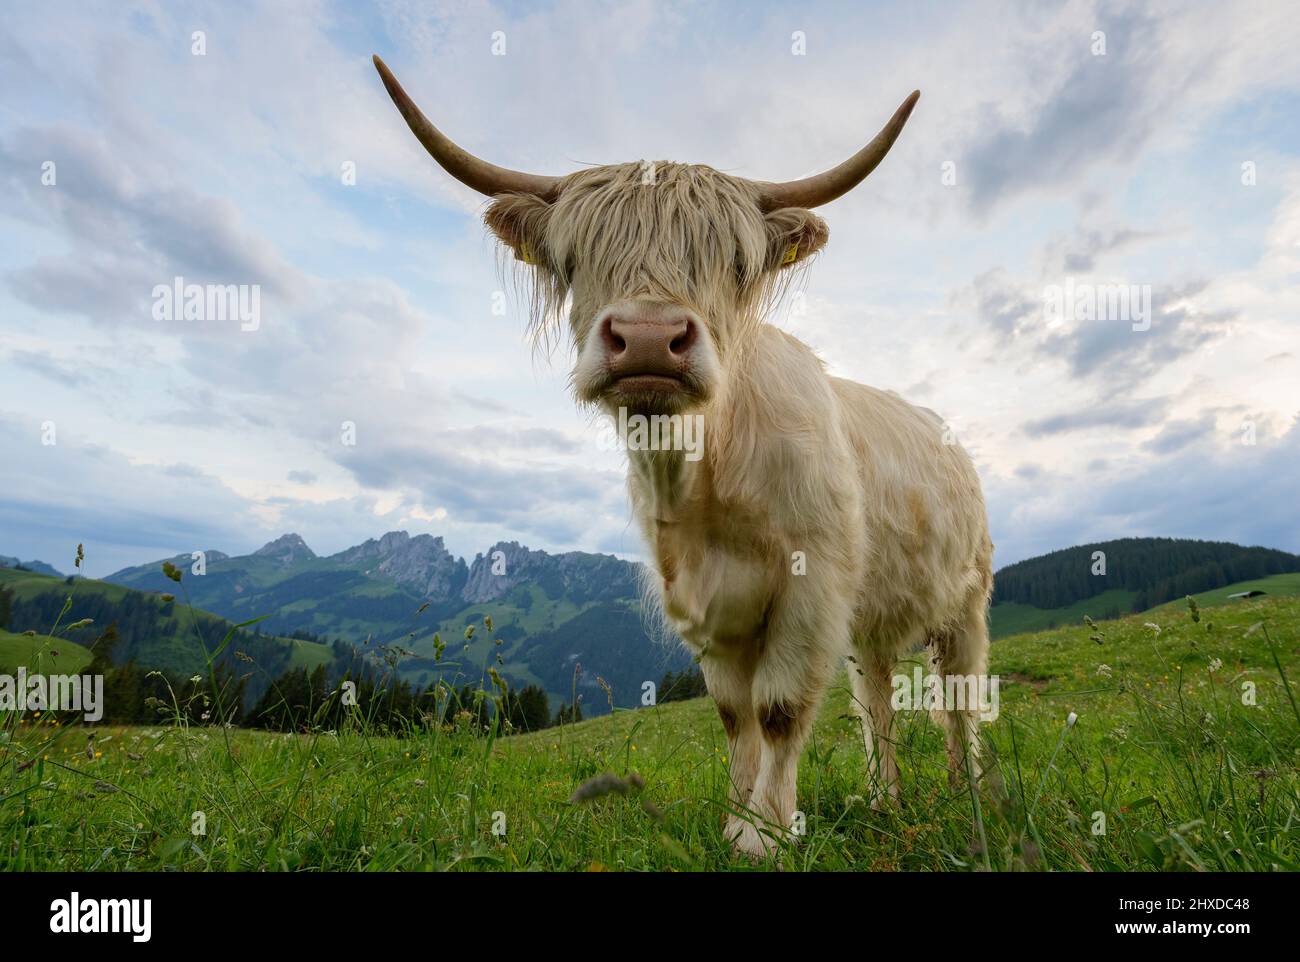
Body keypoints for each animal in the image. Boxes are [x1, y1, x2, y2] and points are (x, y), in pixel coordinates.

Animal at [373, 56, 993, 858]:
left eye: (735, 261)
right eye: (576, 257)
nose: (647, 339)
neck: (707, 481)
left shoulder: (813, 589)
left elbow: (780, 710)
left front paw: (767, 835)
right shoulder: (708, 606)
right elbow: (735, 715)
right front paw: (735, 821)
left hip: (966, 602)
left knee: (960, 698)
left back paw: (969, 793)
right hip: (873, 624)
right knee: (879, 699)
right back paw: (884, 798)